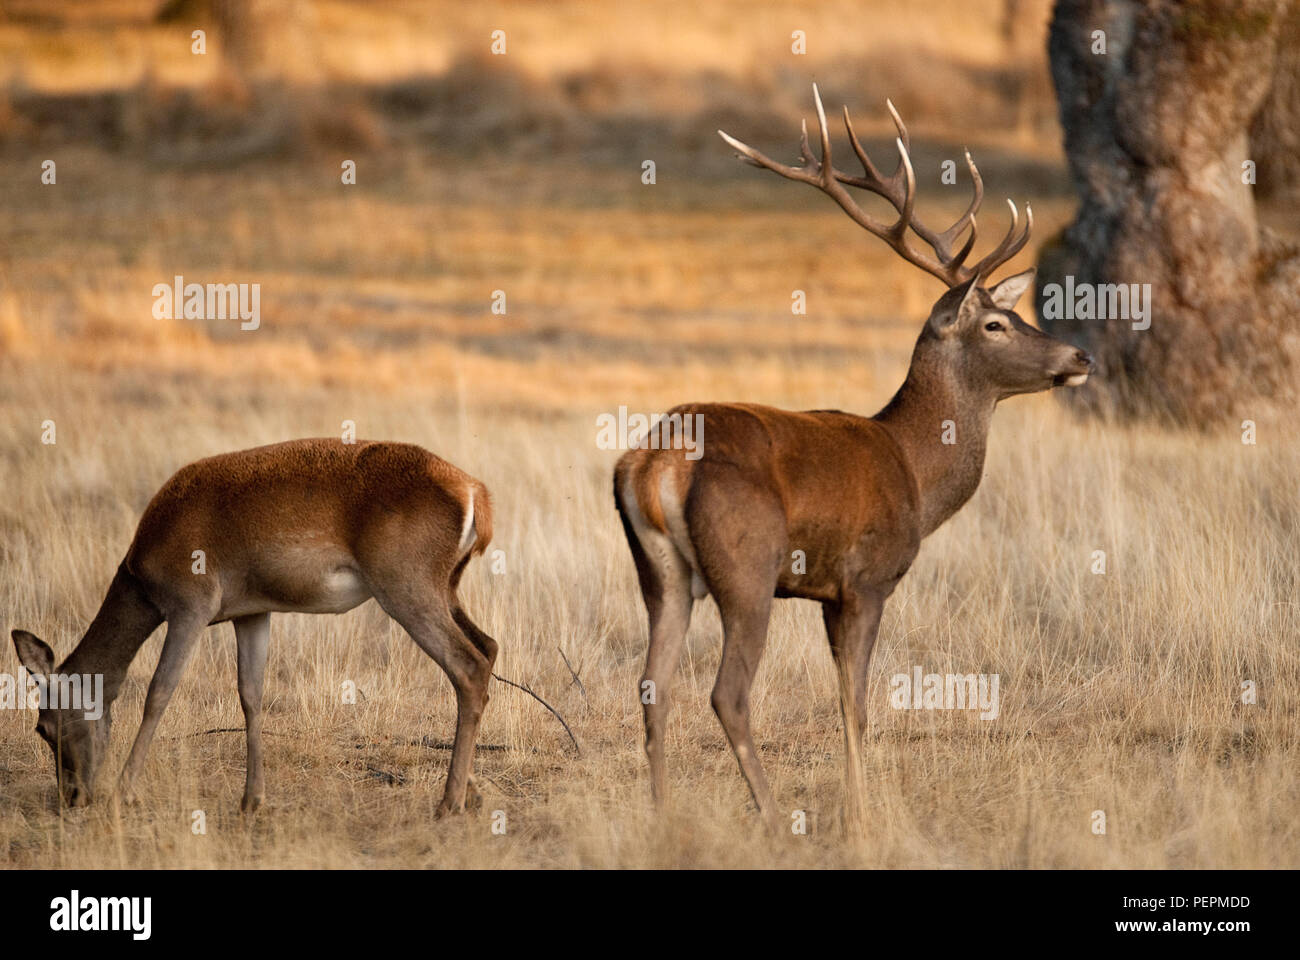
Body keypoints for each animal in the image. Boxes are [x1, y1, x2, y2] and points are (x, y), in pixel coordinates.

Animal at [11, 438, 498, 817]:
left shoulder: (191, 603)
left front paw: (123, 794)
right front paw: (251, 799)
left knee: (468, 664)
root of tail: (476, 494)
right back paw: (470, 790)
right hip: (445, 586)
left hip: (404, 583)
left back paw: (448, 802)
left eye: (44, 725)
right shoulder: (250, 612)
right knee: (489, 646)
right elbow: (251, 694)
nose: (72, 797)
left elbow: (159, 691)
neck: (140, 575)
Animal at [614, 85, 1094, 830]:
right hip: (747, 566)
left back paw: (665, 818)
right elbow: (856, 705)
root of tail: (658, 463)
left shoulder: (826, 593)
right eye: (996, 324)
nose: (1079, 357)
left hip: (659, 574)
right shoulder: (866, 579)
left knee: (651, 688)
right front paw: (862, 817)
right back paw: (772, 816)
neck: (916, 476)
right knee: (728, 693)